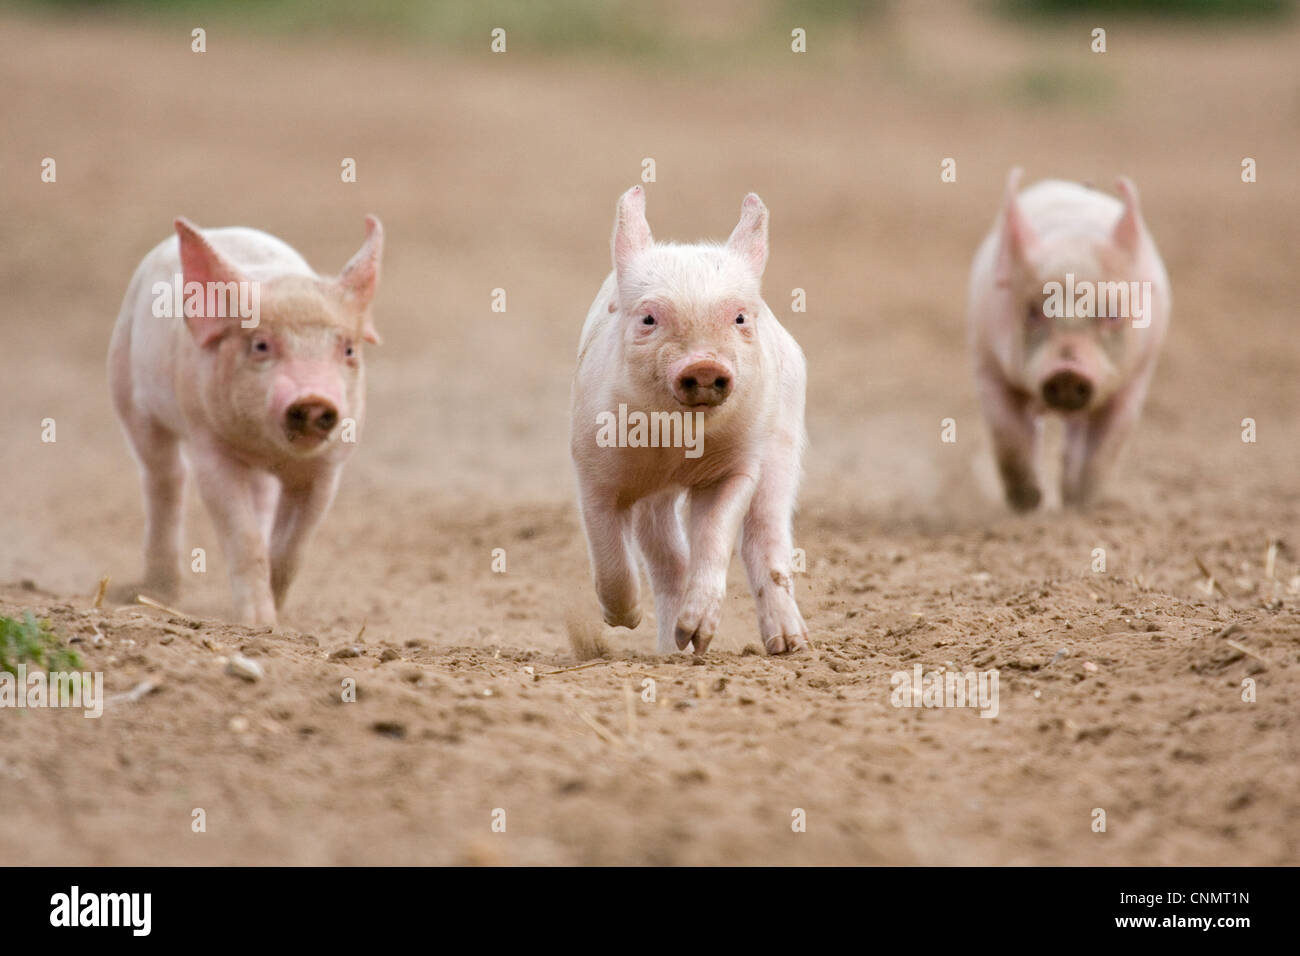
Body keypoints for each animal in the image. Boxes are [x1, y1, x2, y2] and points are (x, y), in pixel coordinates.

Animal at [108, 216, 383, 625]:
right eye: (261, 345)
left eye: (348, 349)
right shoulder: (209, 448)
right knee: (164, 475)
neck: (269, 448)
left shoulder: (327, 468)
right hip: (126, 384)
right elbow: (244, 539)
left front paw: (277, 617)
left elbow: (293, 548)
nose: (314, 399)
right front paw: (259, 624)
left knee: (260, 498)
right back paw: (155, 592)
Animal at [570, 186, 808, 655]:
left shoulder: (738, 466)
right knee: (668, 559)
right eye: (648, 318)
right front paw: (625, 620)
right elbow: (607, 550)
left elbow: (715, 539)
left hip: (785, 440)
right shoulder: (592, 466)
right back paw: (671, 649)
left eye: (739, 317)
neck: (676, 447)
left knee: (765, 536)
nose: (703, 365)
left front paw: (700, 636)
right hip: (653, 500)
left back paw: (789, 645)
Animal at [967, 169, 1170, 510]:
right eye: (1033, 311)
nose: (1066, 373)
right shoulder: (986, 362)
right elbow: (1007, 435)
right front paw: (1028, 503)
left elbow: (1107, 445)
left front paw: (1080, 504)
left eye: (1113, 314)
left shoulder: (1138, 374)